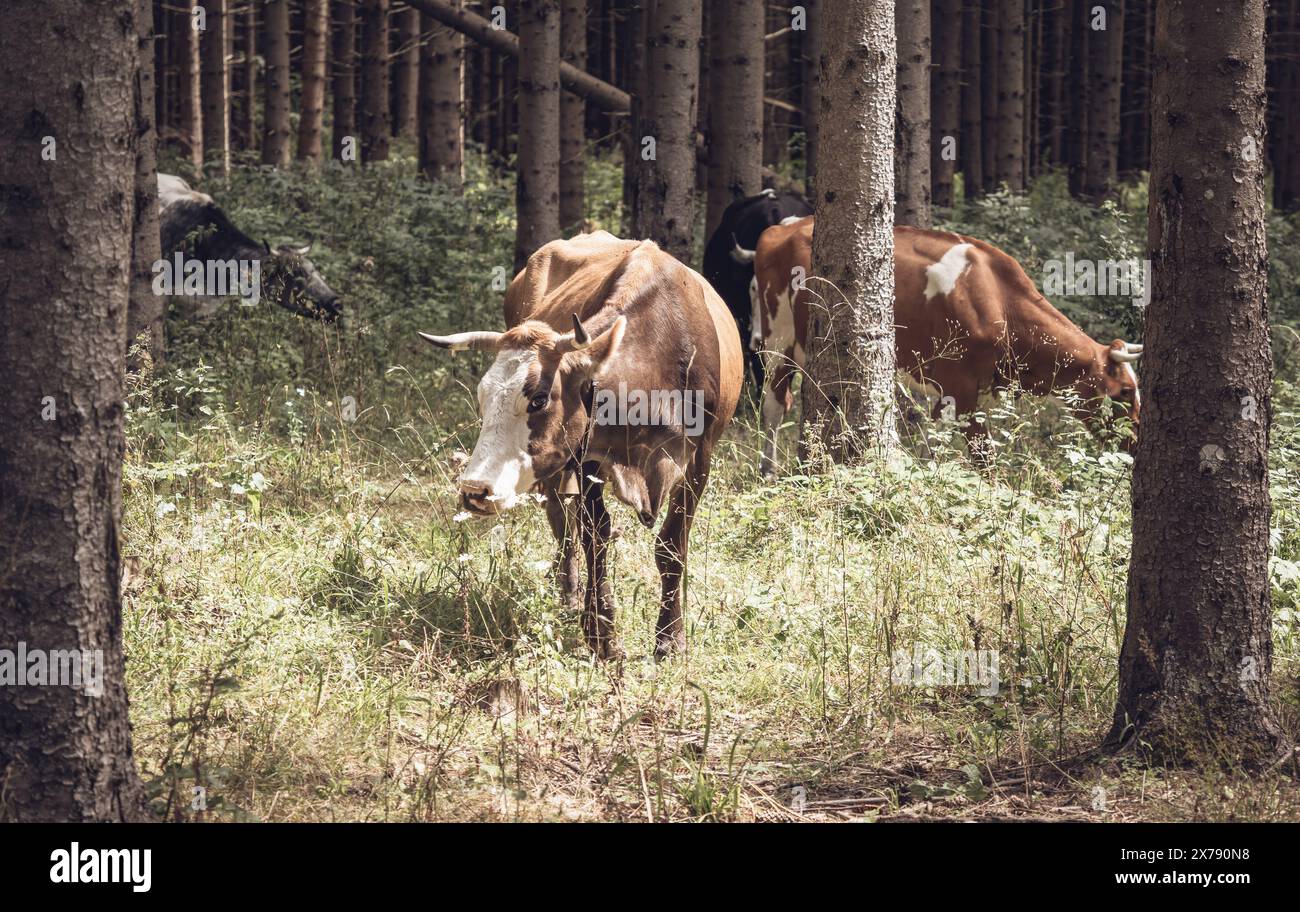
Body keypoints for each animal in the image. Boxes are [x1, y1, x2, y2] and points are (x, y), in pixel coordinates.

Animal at [419, 232, 743, 659]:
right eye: (483, 397)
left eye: (539, 399)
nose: (475, 489)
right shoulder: (586, 458)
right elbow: (595, 536)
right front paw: (601, 633)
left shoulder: (701, 457)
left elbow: (672, 545)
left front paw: (670, 639)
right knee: (561, 520)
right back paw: (570, 596)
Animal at [747, 217, 1142, 477]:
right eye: (1124, 391)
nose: (1137, 442)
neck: (1001, 302)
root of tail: (781, 228)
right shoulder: (958, 389)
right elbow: (982, 458)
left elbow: (932, 445)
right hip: (779, 341)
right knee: (775, 405)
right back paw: (767, 471)